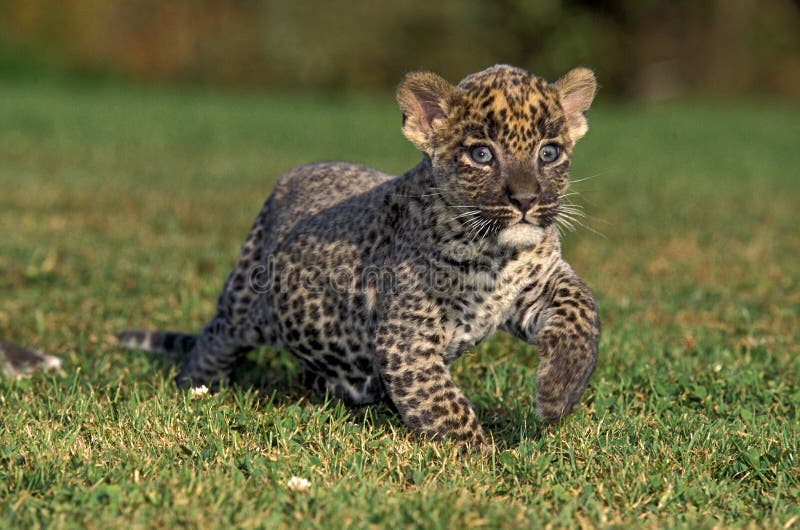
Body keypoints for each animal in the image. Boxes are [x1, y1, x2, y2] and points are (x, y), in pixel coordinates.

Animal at [118, 64, 600, 447]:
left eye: (549, 153)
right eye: (482, 154)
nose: (526, 199)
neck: (496, 254)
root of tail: (296, 173)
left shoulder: (540, 281)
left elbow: (584, 310)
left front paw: (559, 392)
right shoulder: (406, 336)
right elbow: (443, 405)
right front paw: (482, 461)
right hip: (243, 300)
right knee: (213, 340)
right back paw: (195, 390)